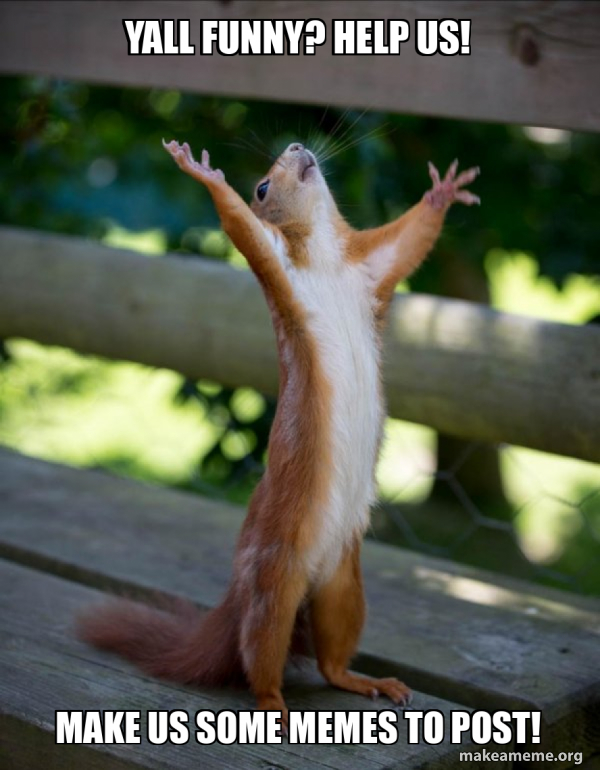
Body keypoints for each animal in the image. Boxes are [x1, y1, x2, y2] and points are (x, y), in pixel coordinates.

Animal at [78, 138, 479, 730]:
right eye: (262, 187)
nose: (296, 146)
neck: (326, 257)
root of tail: (240, 595)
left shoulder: (371, 267)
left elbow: (409, 240)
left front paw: (443, 192)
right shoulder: (277, 265)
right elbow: (240, 226)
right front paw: (204, 173)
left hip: (344, 587)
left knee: (331, 660)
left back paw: (367, 680)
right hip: (274, 584)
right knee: (259, 656)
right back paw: (274, 705)